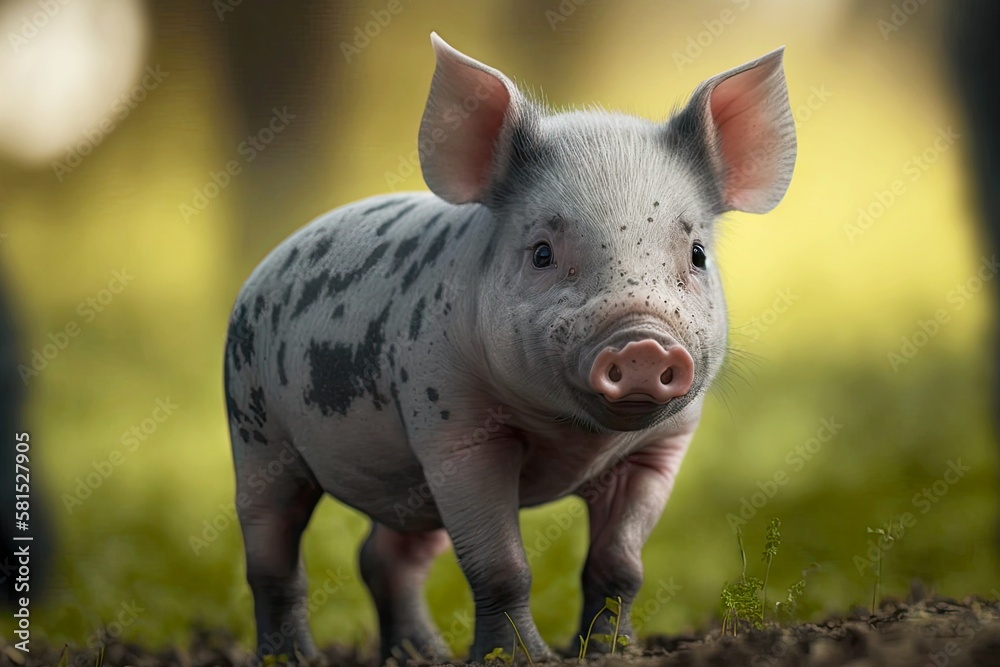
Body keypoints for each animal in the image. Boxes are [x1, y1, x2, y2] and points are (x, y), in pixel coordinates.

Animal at [224, 33, 796, 664]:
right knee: (271, 555)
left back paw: (424, 654)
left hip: (408, 488)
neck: (576, 442)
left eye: (697, 254)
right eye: (542, 252)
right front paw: (529, 659)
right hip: (254, 429)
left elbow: (620, 566)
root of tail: (261, 270)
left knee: (384, 558)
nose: (642, 343)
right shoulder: (457, 437)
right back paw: (294, 657)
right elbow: (501, 568)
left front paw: (610, 652)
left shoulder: (661, 449)